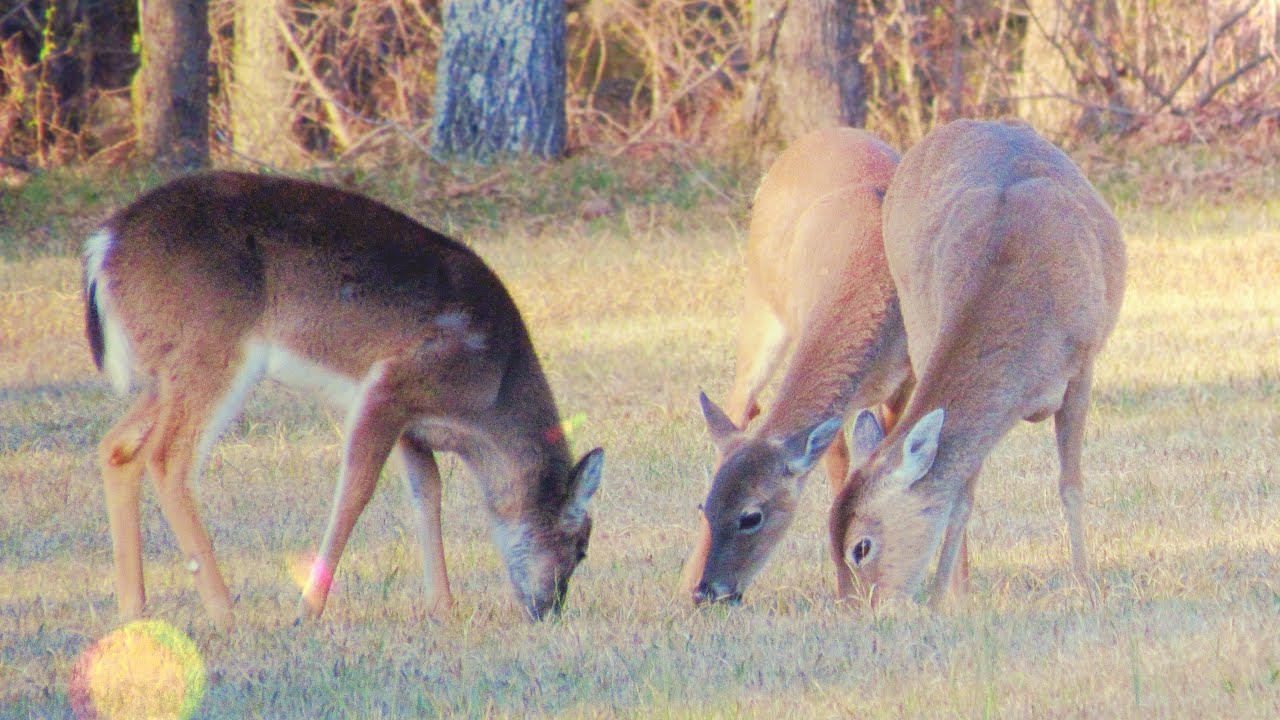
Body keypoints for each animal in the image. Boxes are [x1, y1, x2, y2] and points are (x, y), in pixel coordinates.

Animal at [83, 171, 604, 629]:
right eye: (580, 547)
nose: (550, 611)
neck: (488, 398)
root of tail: (103, 246)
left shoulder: (411, 424)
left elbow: (427, 494)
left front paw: (443, 609)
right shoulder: (388, 385)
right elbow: (356, 491)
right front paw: (307, 613)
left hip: (168, 371)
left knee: (117, 447)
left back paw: (134, 613)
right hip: (213, 347)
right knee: (168, 458)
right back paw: (225, 614)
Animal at [678, 127, 916, 605]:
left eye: (751, 516)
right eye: (704, 507)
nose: (709, 592)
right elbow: (842, 473)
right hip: (759, 307)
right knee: (738, 404)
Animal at [829, 119, 1126, 606]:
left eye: (861, 546)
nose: (856, 609)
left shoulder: (1083, 361)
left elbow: (1071, 483)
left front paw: (1085, 588)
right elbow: (961, 497)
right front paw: (943, 600)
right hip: (915, 319)